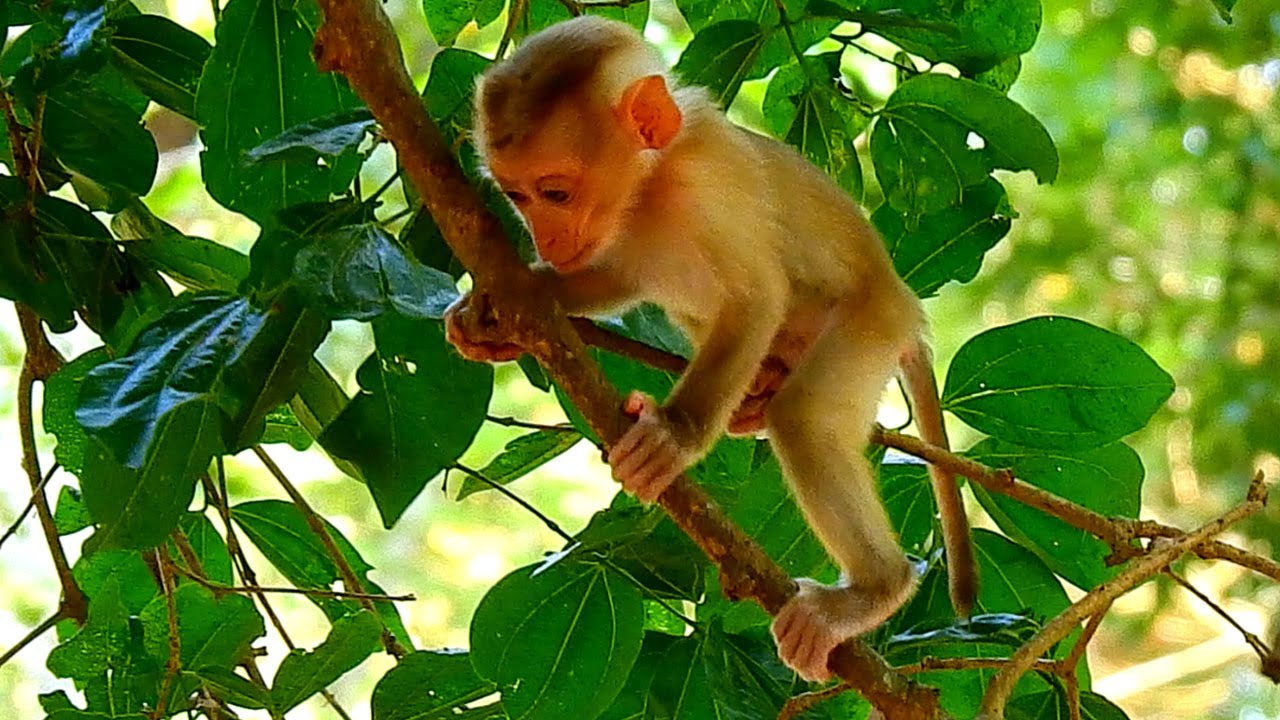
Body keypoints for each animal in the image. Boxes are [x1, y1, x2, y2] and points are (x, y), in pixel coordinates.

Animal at [444, 16, 976, 682]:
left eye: (556, 193)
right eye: (516, 196)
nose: (545, 238)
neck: (650, 187)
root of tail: (906, 306)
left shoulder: (709, 187)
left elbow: (755, 297)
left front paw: (674, 434)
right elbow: (612, 280)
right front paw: (504, 310)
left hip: (867, 324)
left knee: (802, 416)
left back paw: (873, 589)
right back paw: (757, 395)